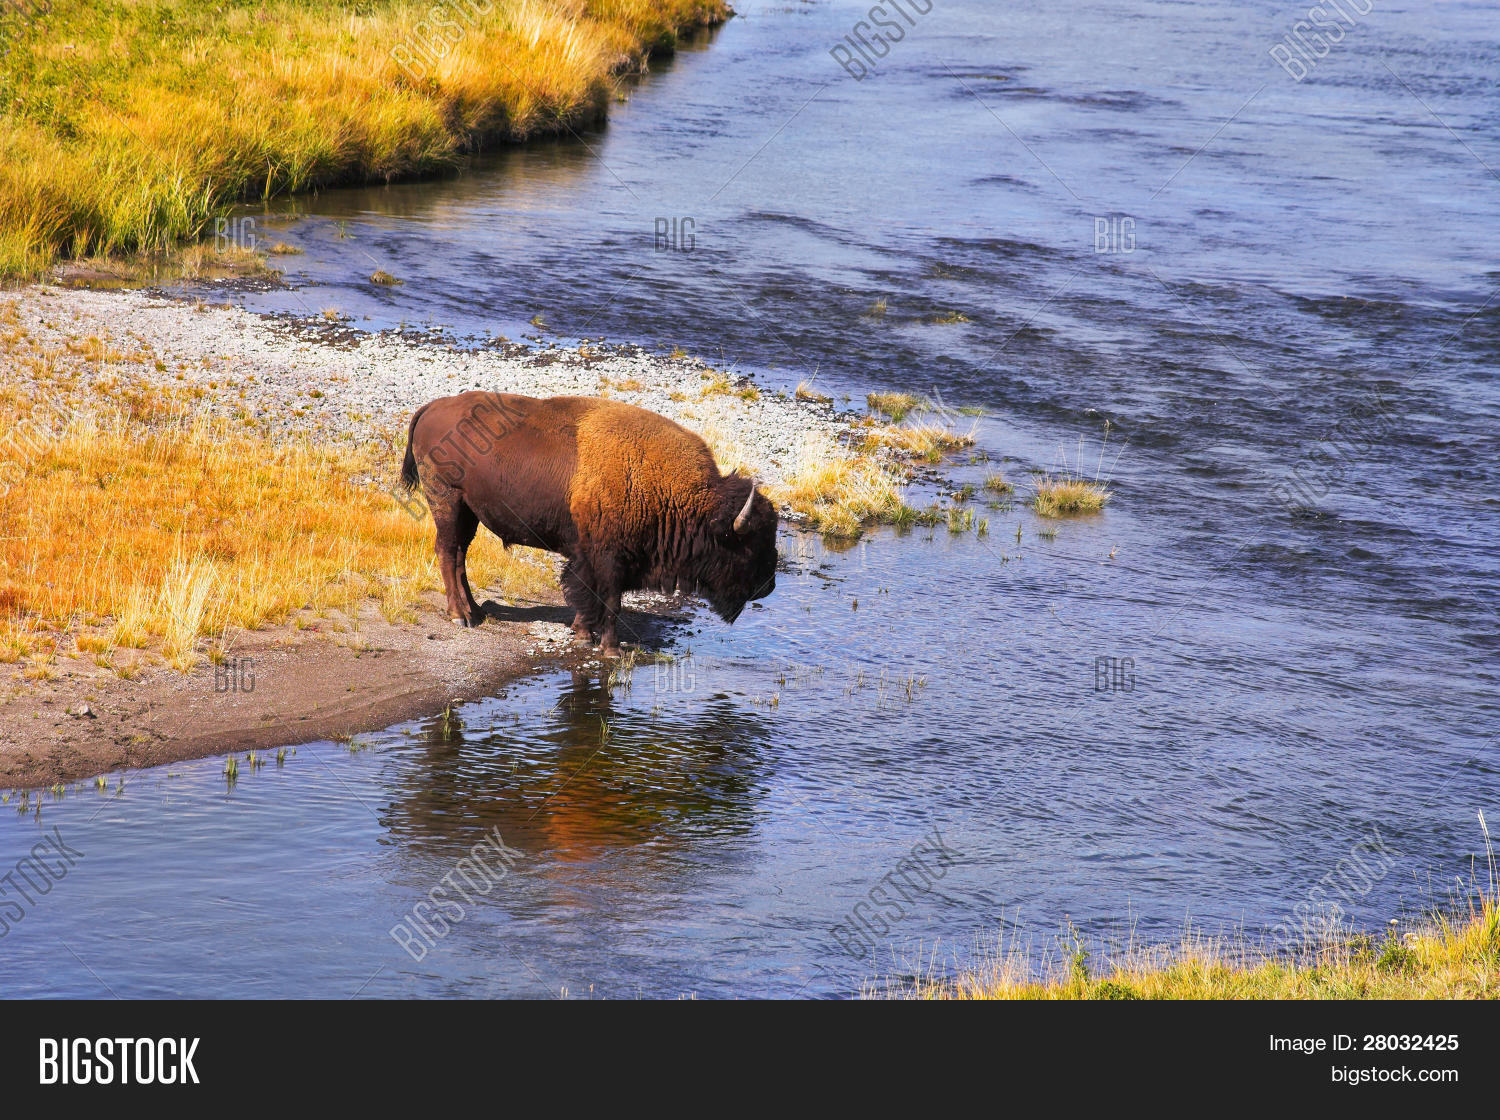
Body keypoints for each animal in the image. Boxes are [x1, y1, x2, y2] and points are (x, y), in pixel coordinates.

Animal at [400, 391, 778, 655]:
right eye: (750, 545)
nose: (769, 586)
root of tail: (432, 407)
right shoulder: (609, 559)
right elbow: (609, 602)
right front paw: (610, 649)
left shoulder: (595, 557)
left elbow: (589, 597)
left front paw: (582, 634)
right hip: (447, 501)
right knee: (447, 551)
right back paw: (459, 616)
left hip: (469, 511)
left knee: (460, 555)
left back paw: (475, 611)